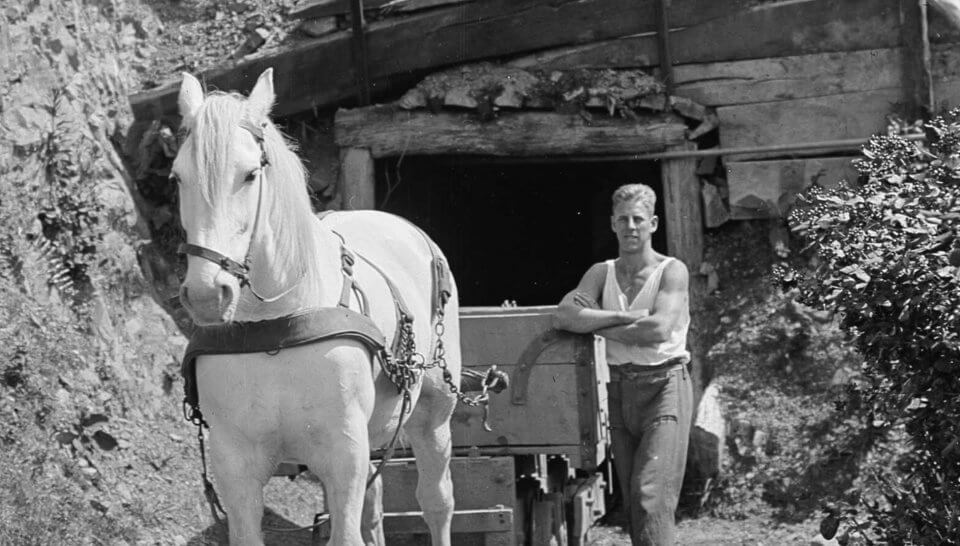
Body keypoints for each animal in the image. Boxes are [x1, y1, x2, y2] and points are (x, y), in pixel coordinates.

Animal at [172, 68, 461, 546]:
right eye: (178, 178)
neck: (275, 327)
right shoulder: (235, 461)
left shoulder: (343, 452)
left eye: (250, 174)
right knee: (375, 509)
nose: (207, 295)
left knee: (437, 502)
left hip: (433, 415)